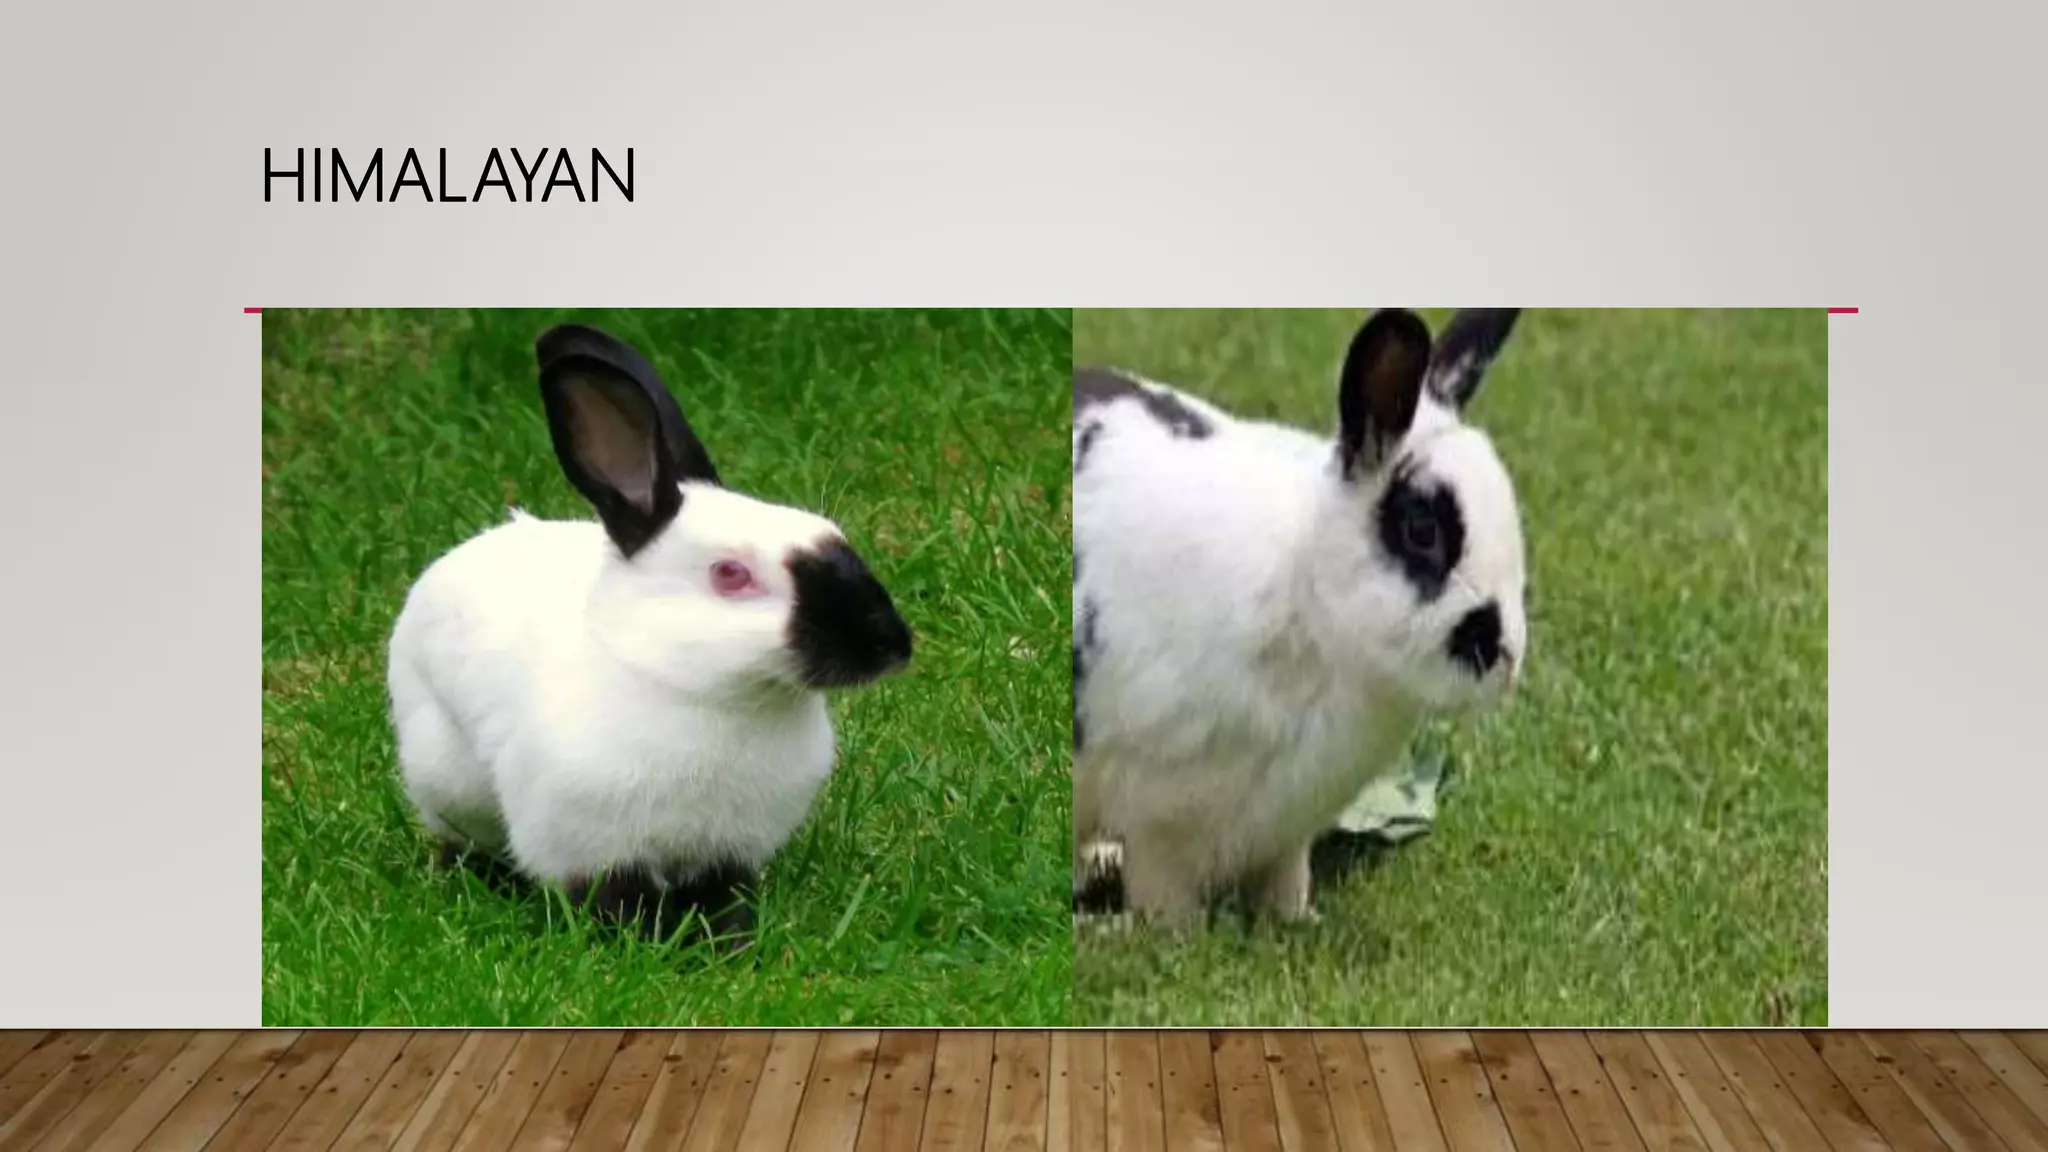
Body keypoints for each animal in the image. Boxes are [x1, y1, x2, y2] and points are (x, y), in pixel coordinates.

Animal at [386, 322, 914, 945]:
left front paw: (727, 942)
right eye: (730, 574)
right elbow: (617, 899)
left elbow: (723, 897)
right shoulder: (592, 848)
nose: (893, 645)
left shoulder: (728, 850)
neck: (704, 693)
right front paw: (639, 941)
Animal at [1071, 308, 1526, 929]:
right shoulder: (1160, 819)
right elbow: (1166, 899)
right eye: (1422, 532)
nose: (1508, 657)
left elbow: (1288, 879)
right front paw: (1162, 935)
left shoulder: (1287, 832)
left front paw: (1296, 921)